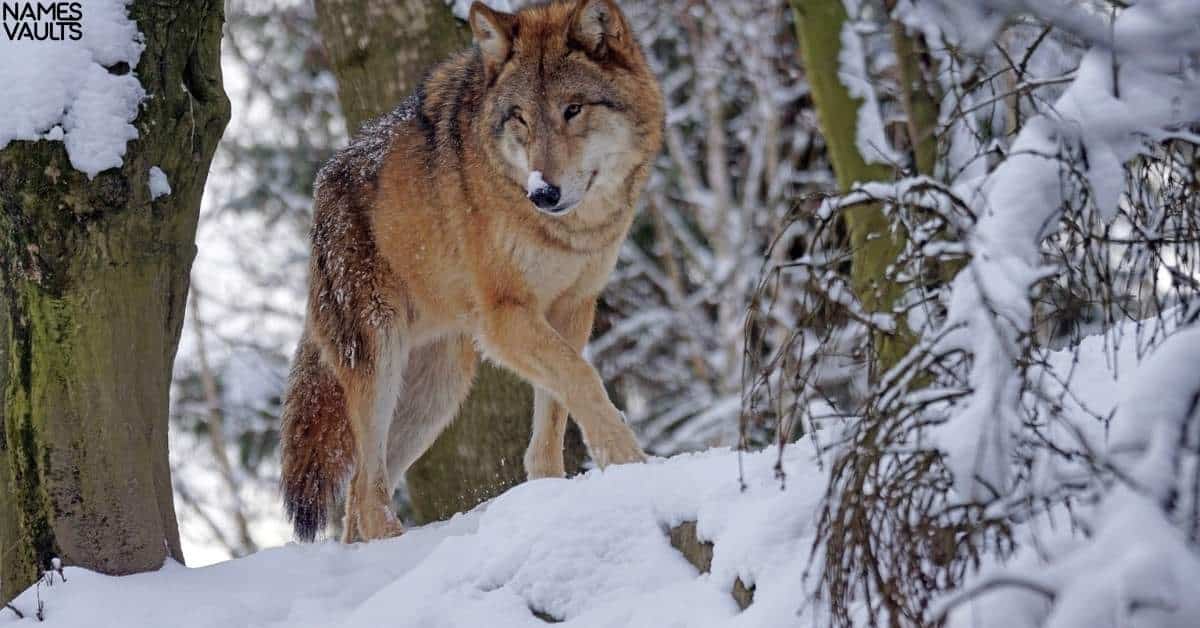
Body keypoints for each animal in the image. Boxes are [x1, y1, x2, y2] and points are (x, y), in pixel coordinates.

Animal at [280, 0, 665, 542]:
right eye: (520, 117)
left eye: (573, 109)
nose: (542, 192)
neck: (571, 231)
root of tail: (321, 186)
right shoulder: (505, 317)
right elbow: (584, 378)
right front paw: (631, 463)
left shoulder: (572, 308)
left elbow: (556, 409)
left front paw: (551, 492)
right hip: (381, 360)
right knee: (367, 492)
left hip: (438, 392)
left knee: (358, 498)